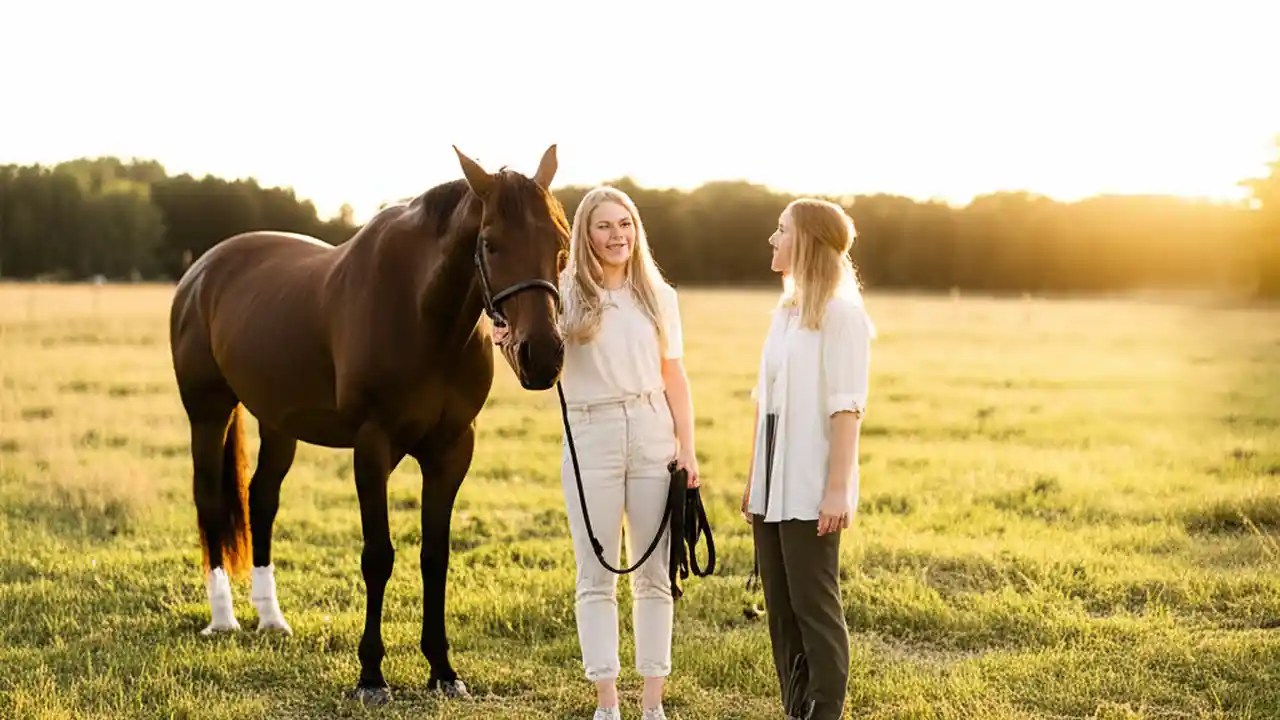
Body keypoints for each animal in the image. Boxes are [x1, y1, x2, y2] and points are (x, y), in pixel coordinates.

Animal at [168, 145, 569, 703]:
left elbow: (435, 556)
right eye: (490, 243)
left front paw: (442, 670)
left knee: (261, 499)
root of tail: (201, 271)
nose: (543, 355)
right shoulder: (372, 446)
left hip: (278, 422)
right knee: (209, 502)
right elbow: (377, 556)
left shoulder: (451, 450)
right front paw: (371, 676)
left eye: (560, 241)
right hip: (208, 411)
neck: (422, 314)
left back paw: (271, 619)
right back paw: (223, 619)